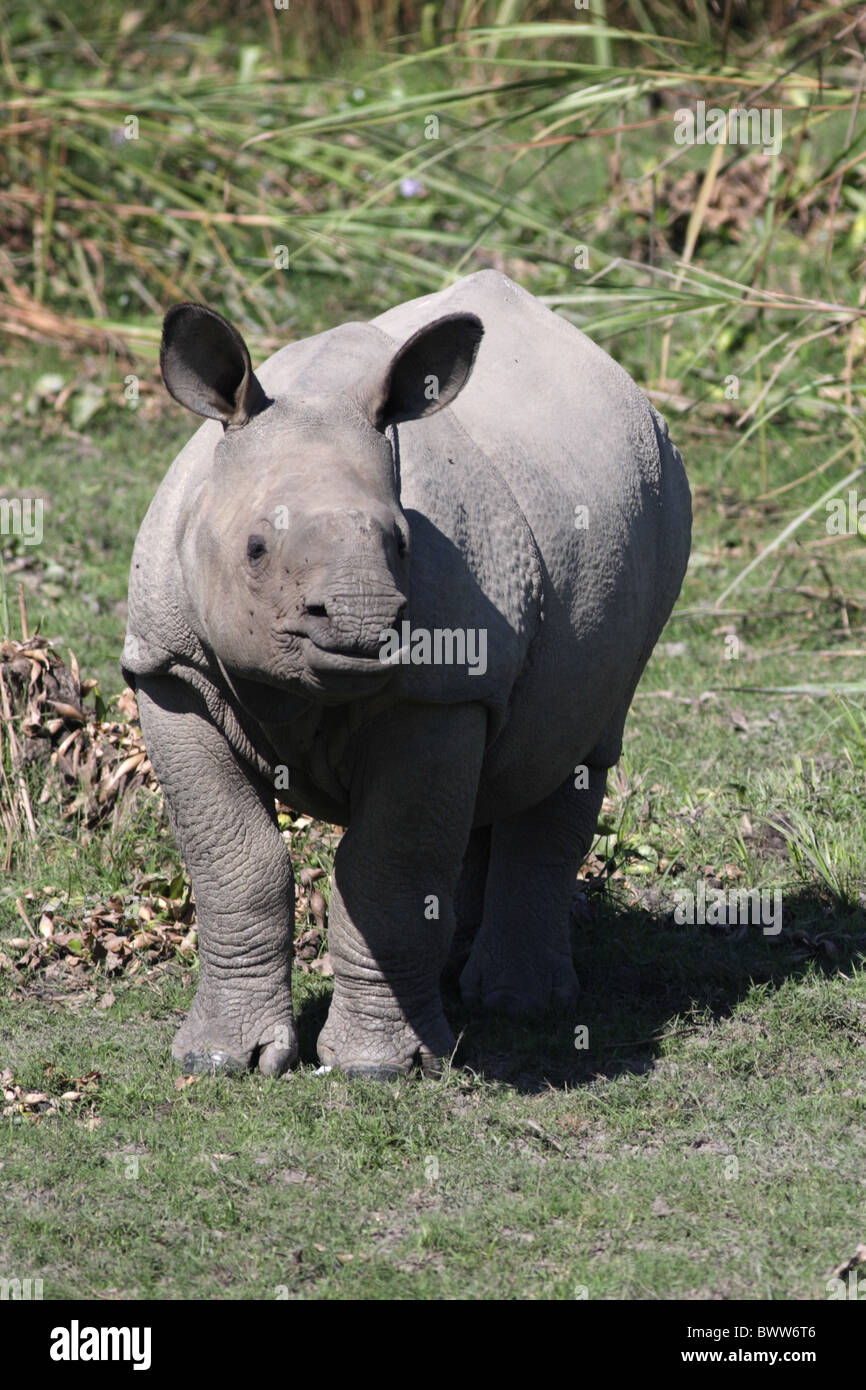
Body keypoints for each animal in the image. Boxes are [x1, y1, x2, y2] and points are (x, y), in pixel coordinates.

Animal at [122, 269, 691, 1080]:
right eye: (256, 549)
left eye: (401, 545)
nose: (366, 622)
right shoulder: (171, 667)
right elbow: (235, 862)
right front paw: (218, 1059)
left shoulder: (440, 690)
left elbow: (386, 871)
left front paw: (377, 1069)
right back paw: (459, 985)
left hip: (664, 499)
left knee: (579, 747)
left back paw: (517, 1005)